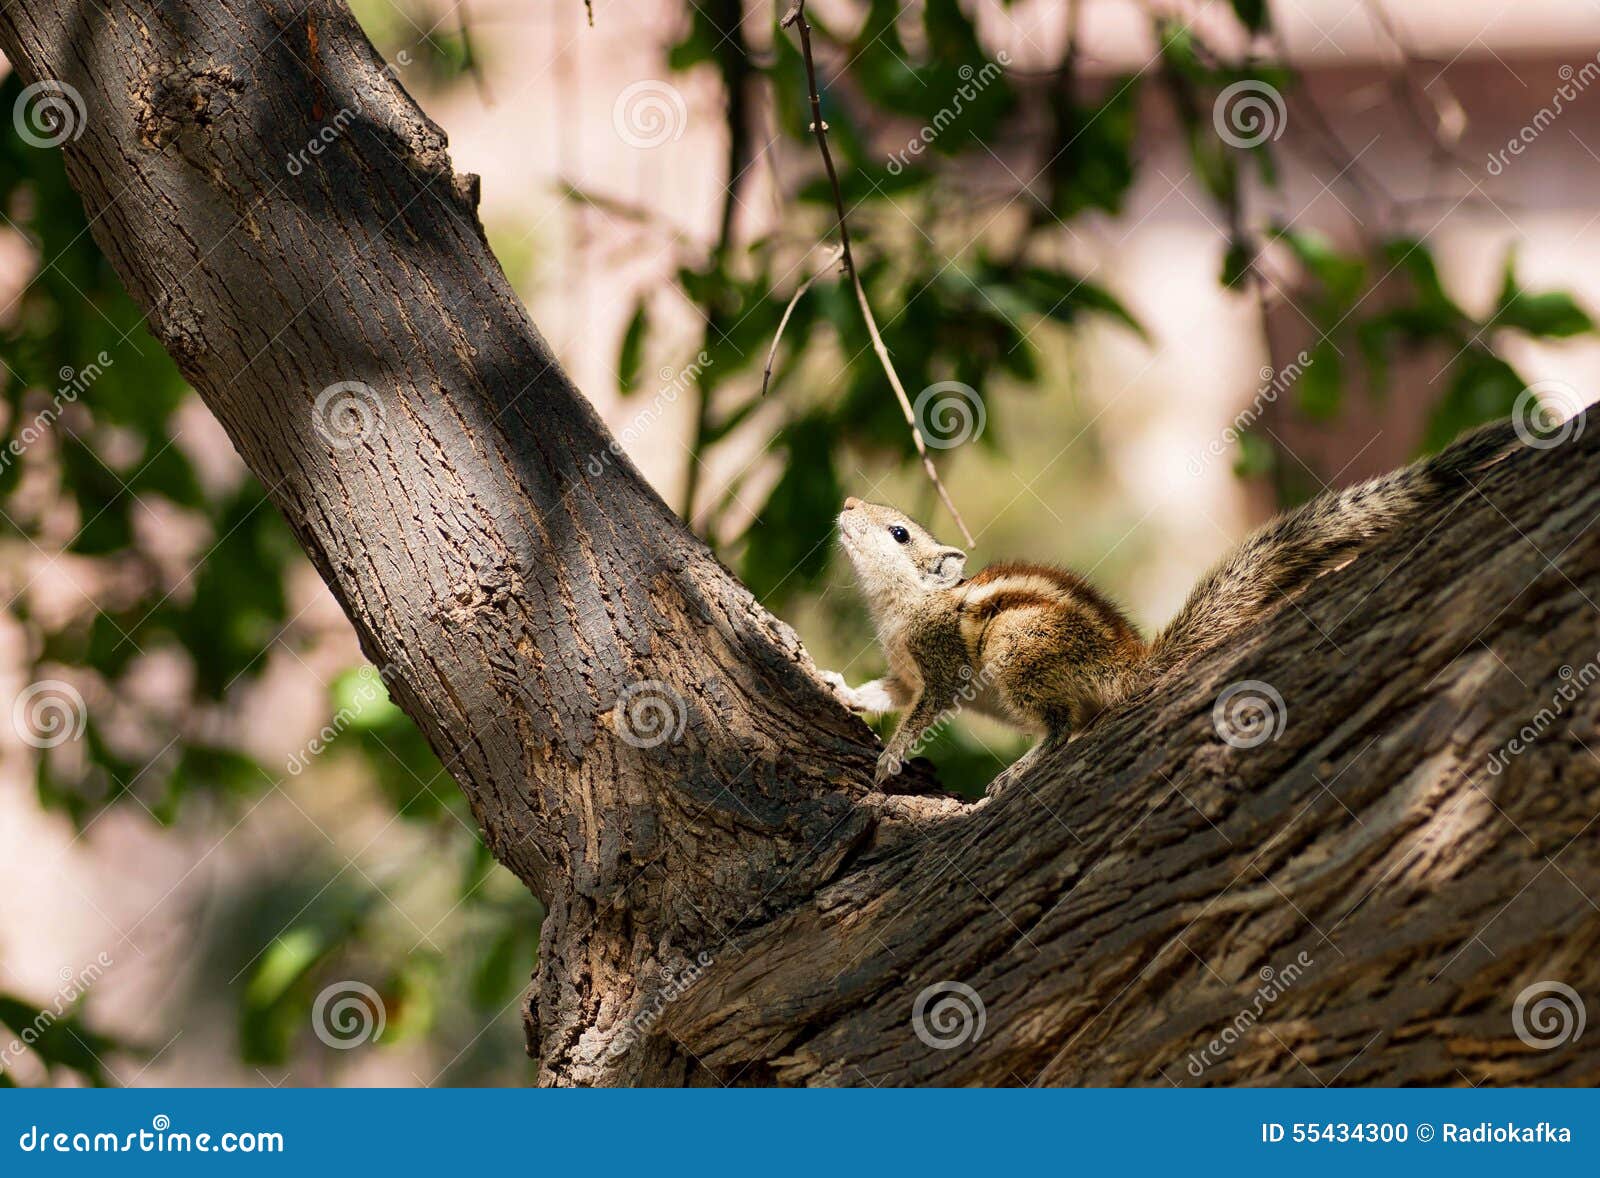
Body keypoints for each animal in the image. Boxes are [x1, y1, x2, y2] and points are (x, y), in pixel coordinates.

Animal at [825, 417, 1523, 786]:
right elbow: (885, 693)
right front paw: (840, 688)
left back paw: (1016, 772)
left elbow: (923, 711)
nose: (849, 502)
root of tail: (1128, 664)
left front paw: (890, 756)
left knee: (1061, 728)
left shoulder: (941, 665)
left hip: (1015, 647)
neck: (902, 607)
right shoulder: (905, 670)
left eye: (899, 533)